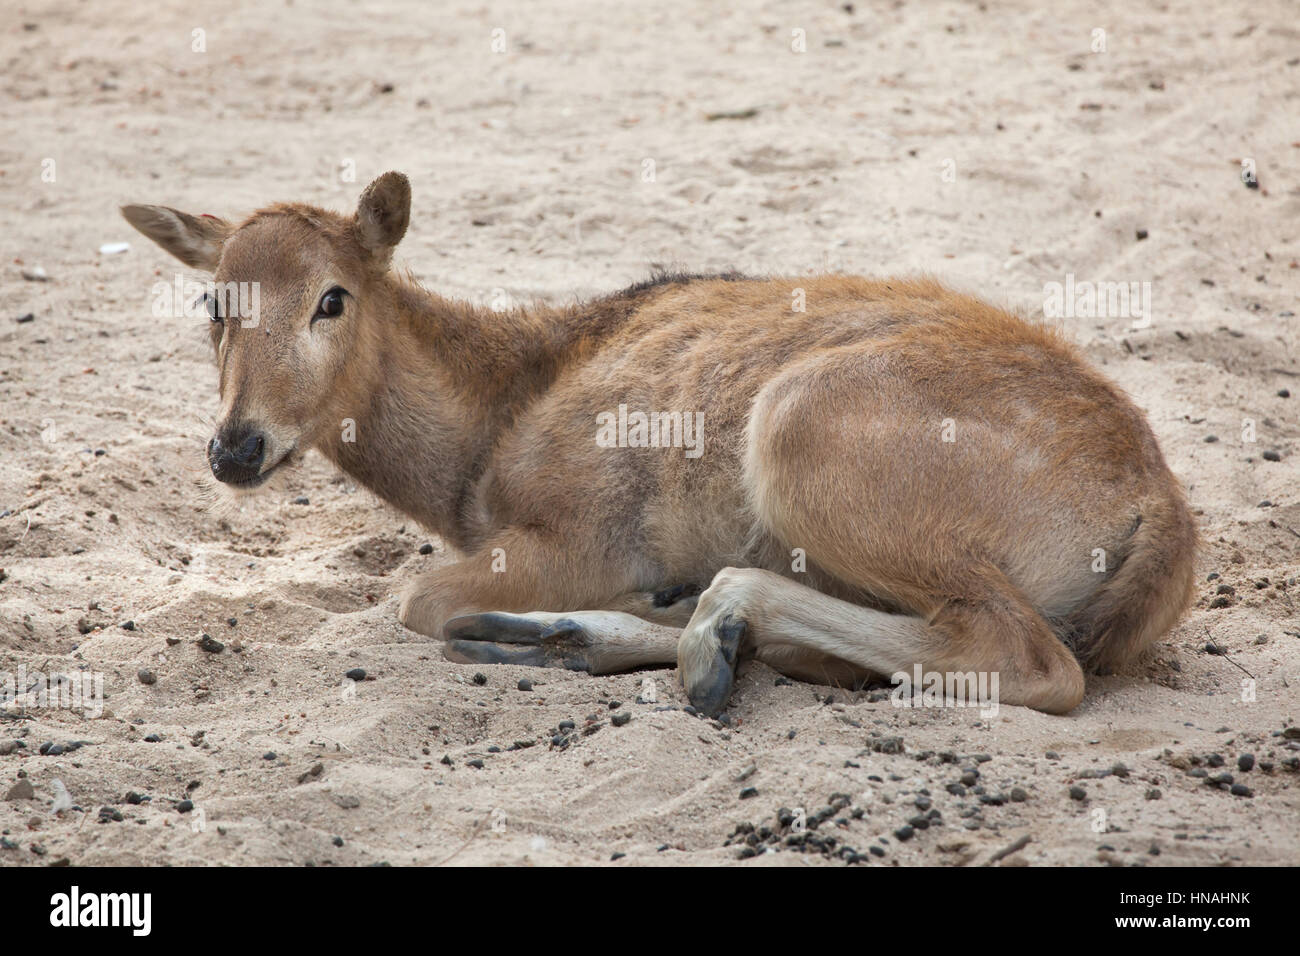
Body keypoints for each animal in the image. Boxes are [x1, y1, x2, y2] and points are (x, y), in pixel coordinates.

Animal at [120, 171, 1198, 717]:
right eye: (212, 301)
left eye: (331, 297)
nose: (236, 446)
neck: (484, 441)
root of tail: (1160, 515)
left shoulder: (580, 530)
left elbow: (416, 598)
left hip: (806, 438)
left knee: (1029, 657)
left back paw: (698, 633)